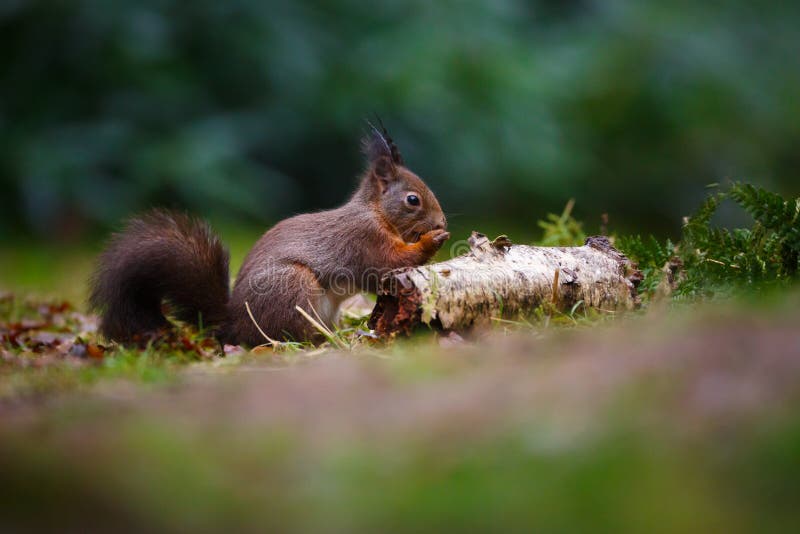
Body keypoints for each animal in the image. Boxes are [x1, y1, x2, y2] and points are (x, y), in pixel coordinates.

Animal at [89, 124, 449, 346]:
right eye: (413, 200)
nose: (442, 220)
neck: (376, 212)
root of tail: (235, 324)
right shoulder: (364, 239)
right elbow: (387, 263)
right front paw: (433, 239)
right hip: (292, 286)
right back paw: (323, 341)